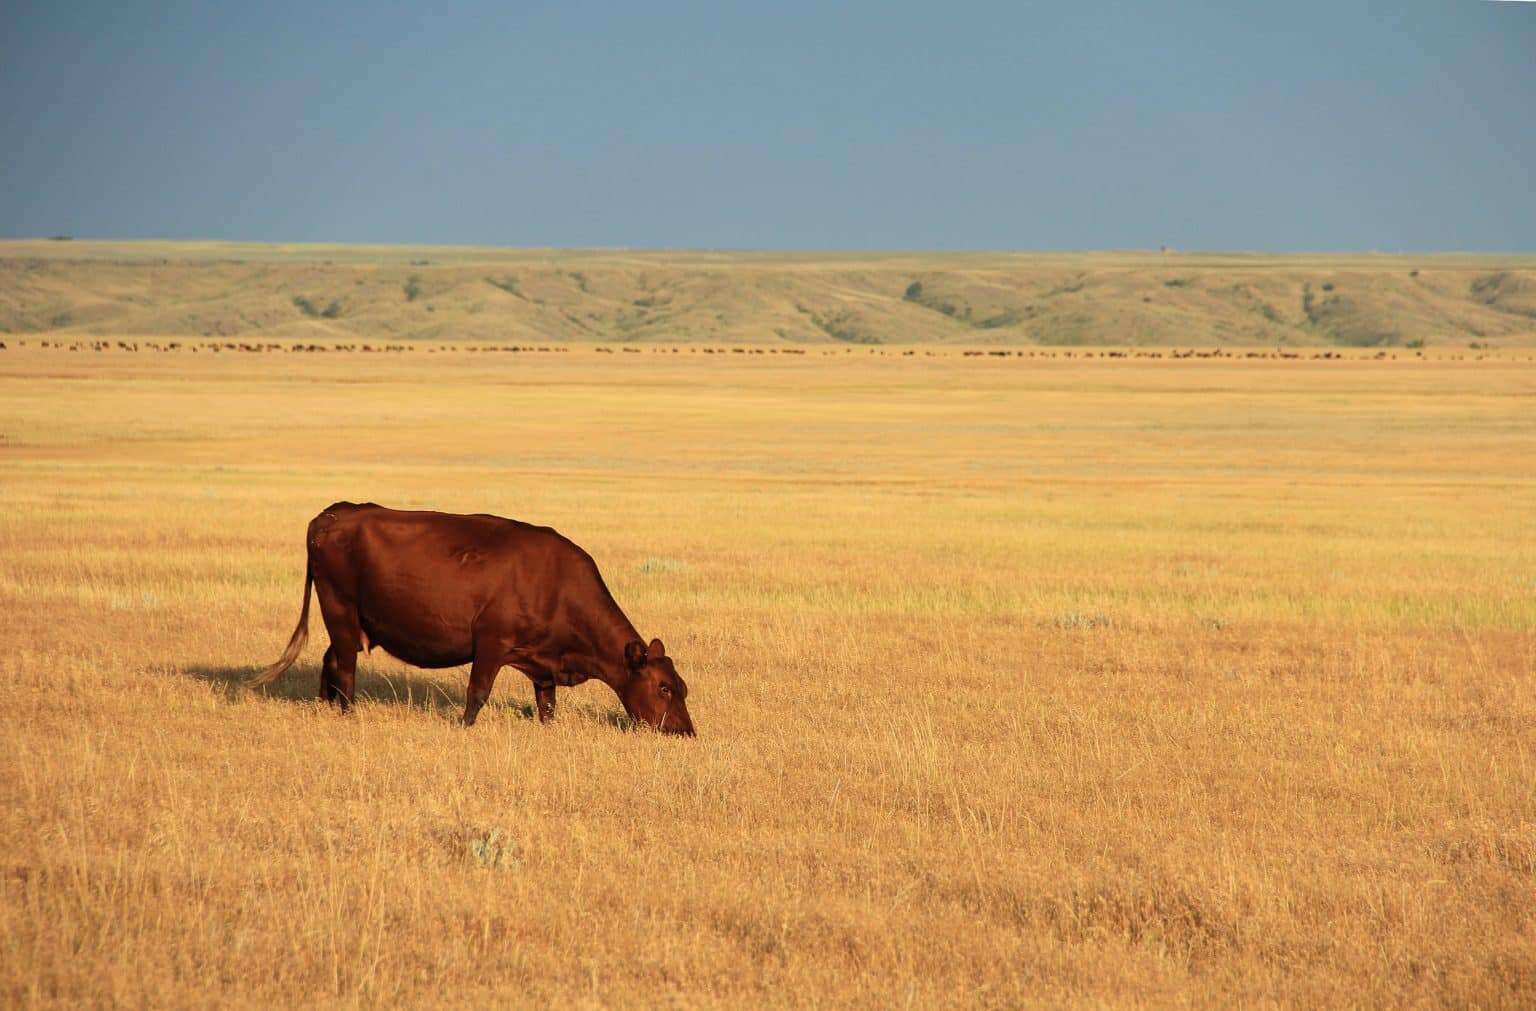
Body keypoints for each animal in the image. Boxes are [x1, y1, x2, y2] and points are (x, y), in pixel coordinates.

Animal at [248, 502, 695, 735]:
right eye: (663, 687)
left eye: (682, 688)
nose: (685, 731)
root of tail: (332, 514)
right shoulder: (493, 643)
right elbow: (477, 693)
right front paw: (464, 730)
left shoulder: (544, 663)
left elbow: (547, 704)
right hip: (338, 607)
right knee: (345, 667)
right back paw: (348, 714)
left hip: (351, 618)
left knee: (330, 661)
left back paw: (325, 708)